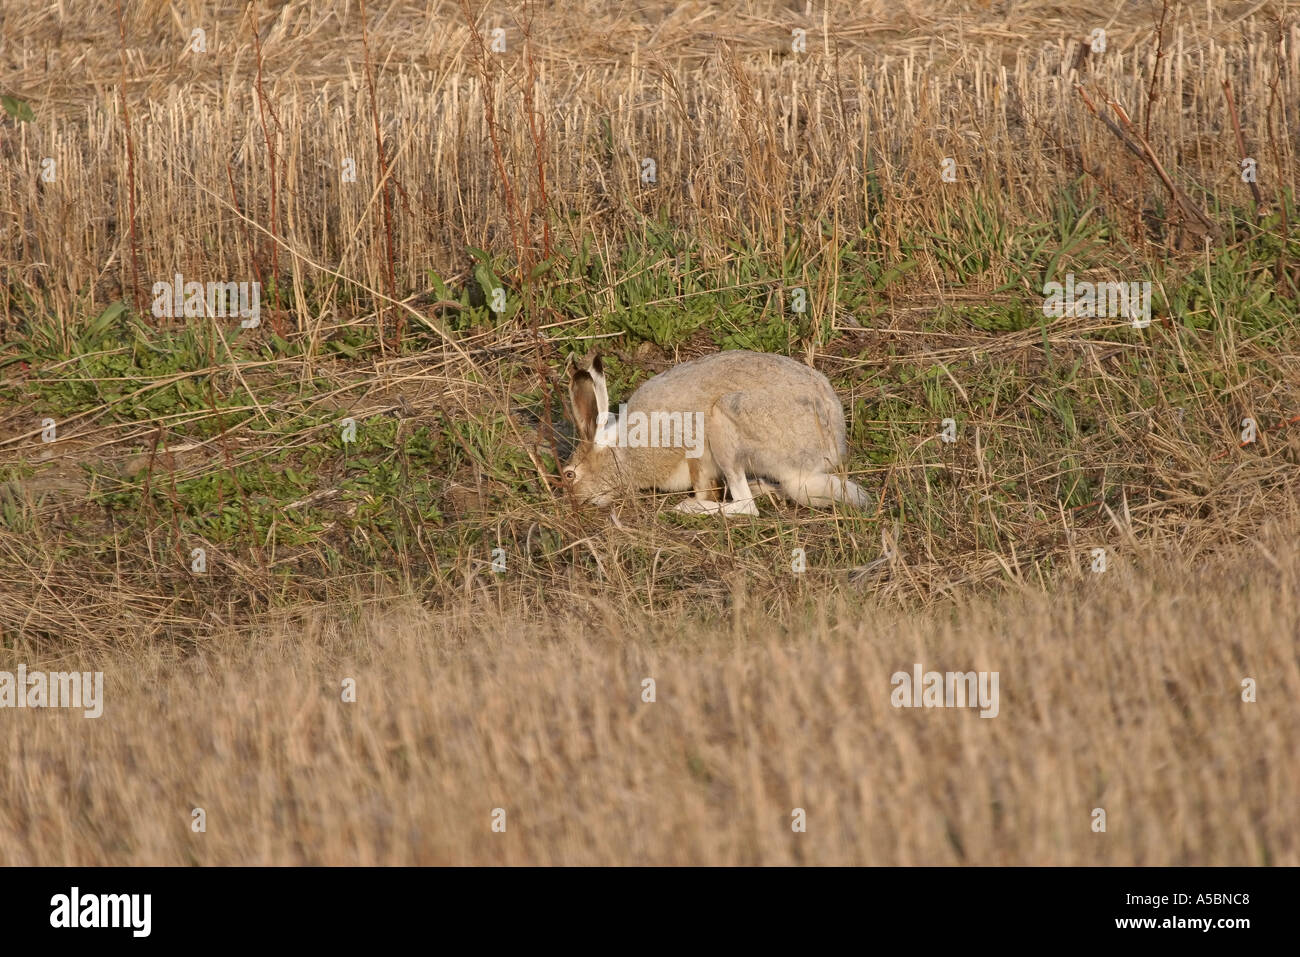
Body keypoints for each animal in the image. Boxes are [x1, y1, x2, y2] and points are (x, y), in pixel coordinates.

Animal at [564, 350, 869, 516]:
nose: (574, 502)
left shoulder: (693, 448)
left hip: (723, 421)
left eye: (569, 475)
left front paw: (699, 500)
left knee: (746, 506)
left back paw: (689, 508)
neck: (620, 452)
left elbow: (702, 483)